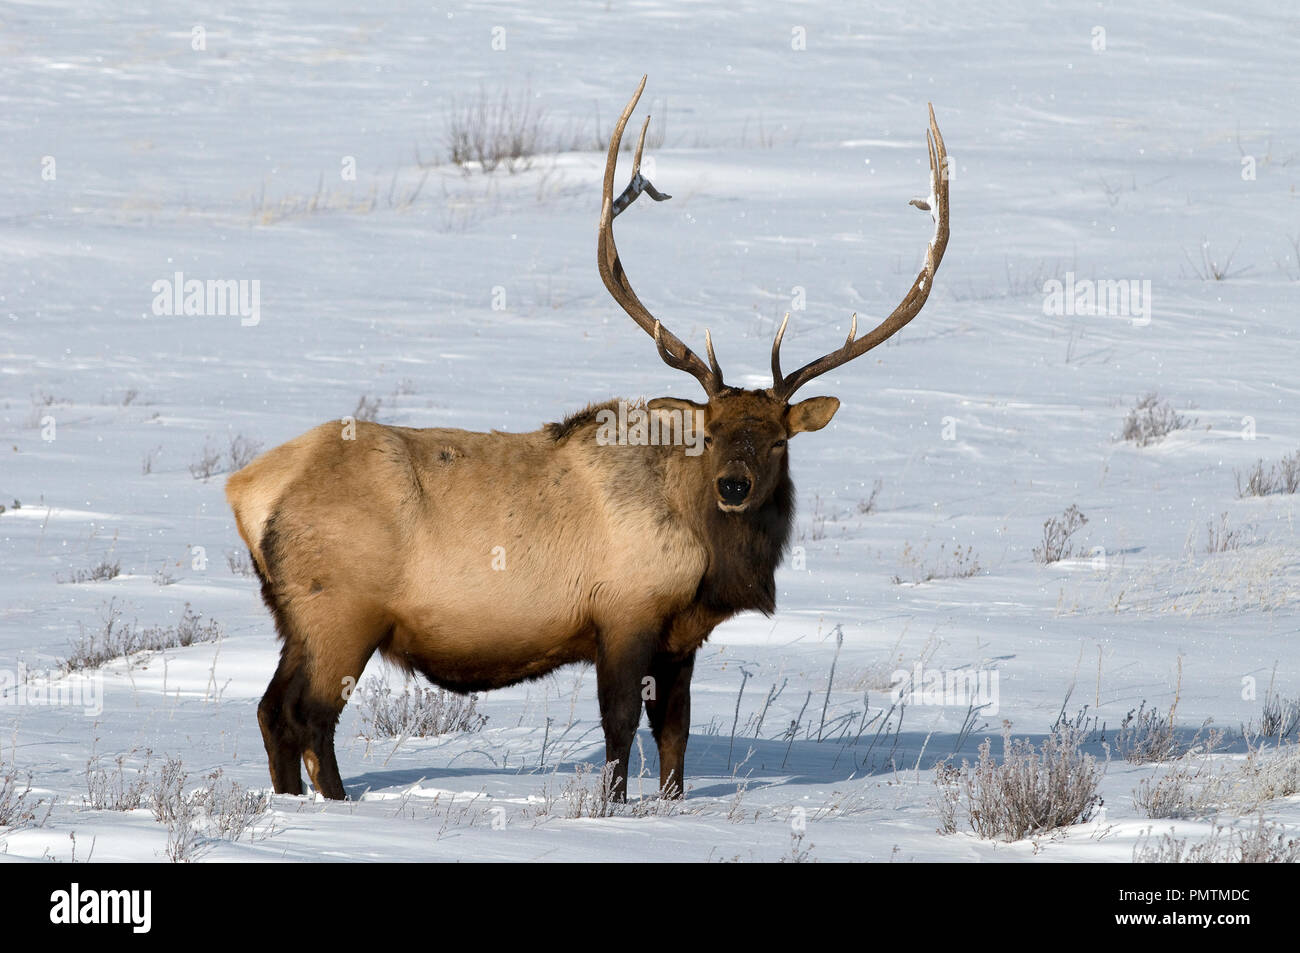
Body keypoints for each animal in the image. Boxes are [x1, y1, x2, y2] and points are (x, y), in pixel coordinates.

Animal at [225, 76, 949, 802]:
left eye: (778, 440)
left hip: (297, 616)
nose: (734, 486)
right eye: (710, 433)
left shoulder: (678, 636)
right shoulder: (623, 611)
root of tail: (245, 489)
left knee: (270, 709)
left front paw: (672, 802)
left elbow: (676, 735)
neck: (708, 556)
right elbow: (621, 727)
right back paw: (335, 806)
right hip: (340, 609)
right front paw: (611, 804)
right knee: (307, 714)